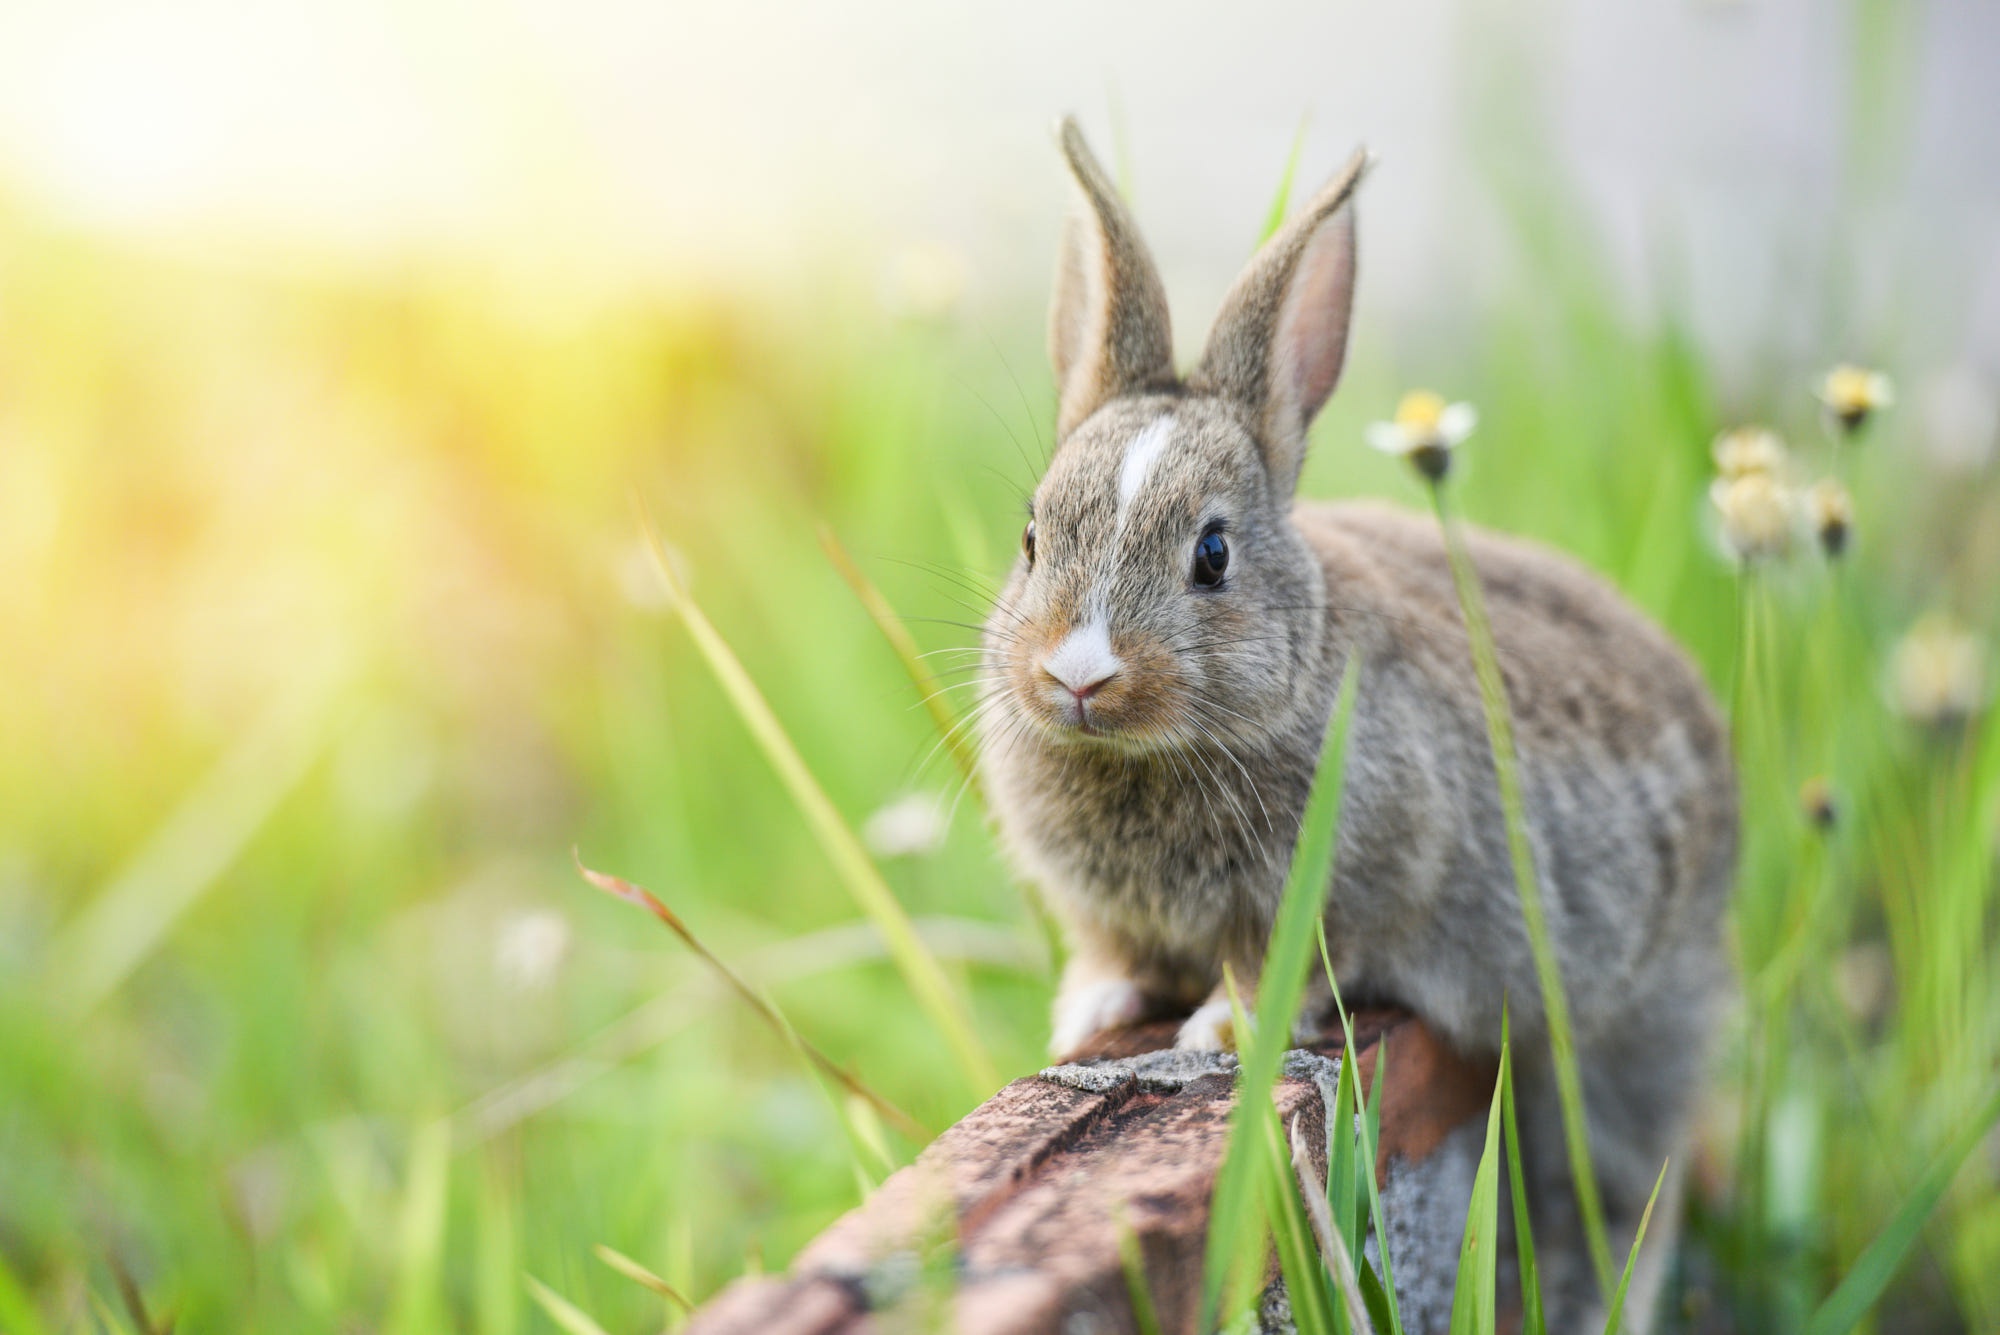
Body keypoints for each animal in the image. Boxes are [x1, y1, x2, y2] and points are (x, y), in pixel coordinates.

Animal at [976, 119, 1737, 1334]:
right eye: (1032, 538)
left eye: (1212, 555)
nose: (1077, 676)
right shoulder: (1107, 911)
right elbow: (1111, 958)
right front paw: (1085, 1013)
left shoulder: (1331, 895)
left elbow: (1266, 978)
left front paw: (1213, 1034)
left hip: (1628, 1034)